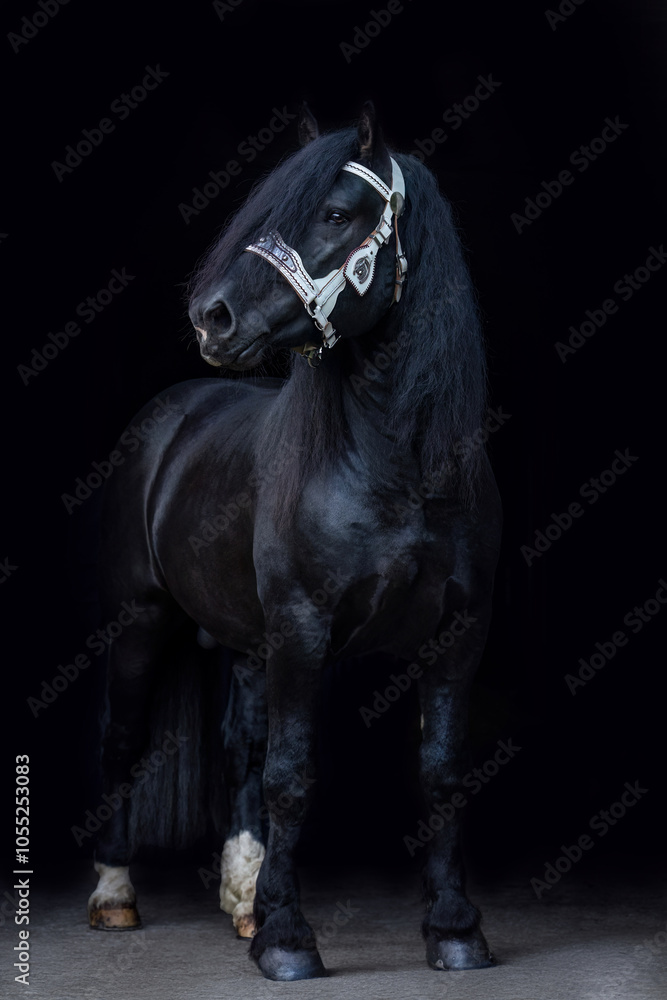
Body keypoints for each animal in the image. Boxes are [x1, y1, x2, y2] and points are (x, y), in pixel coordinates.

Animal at [87, 101, 503, 982]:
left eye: (338, 215)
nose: (211, 316)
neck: (395, 468)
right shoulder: (303, 628)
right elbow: (291, 777)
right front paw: (287, 939)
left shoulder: (458, 634)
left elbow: (441, 773)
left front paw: (454, 930)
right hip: (142, 621)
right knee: (124, 739)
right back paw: (115, 896)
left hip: (250, 643)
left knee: (237, 747)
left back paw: (242, 899)